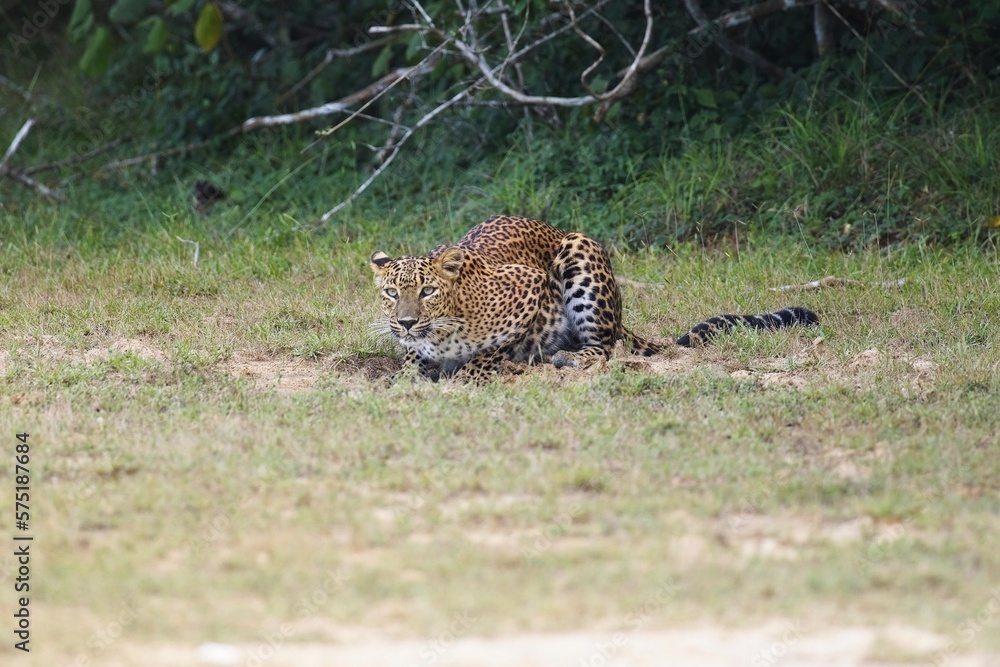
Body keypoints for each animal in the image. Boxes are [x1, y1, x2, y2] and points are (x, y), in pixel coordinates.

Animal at [370, 215, 818, 383]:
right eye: (391, 293)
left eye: (428, 291)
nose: (406, 321)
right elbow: (409, 359)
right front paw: (404, 375)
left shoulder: (530, 288)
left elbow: (493, 348)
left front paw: (470, 373)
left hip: (579, 255)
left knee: (605, 346)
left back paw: (566, 358)